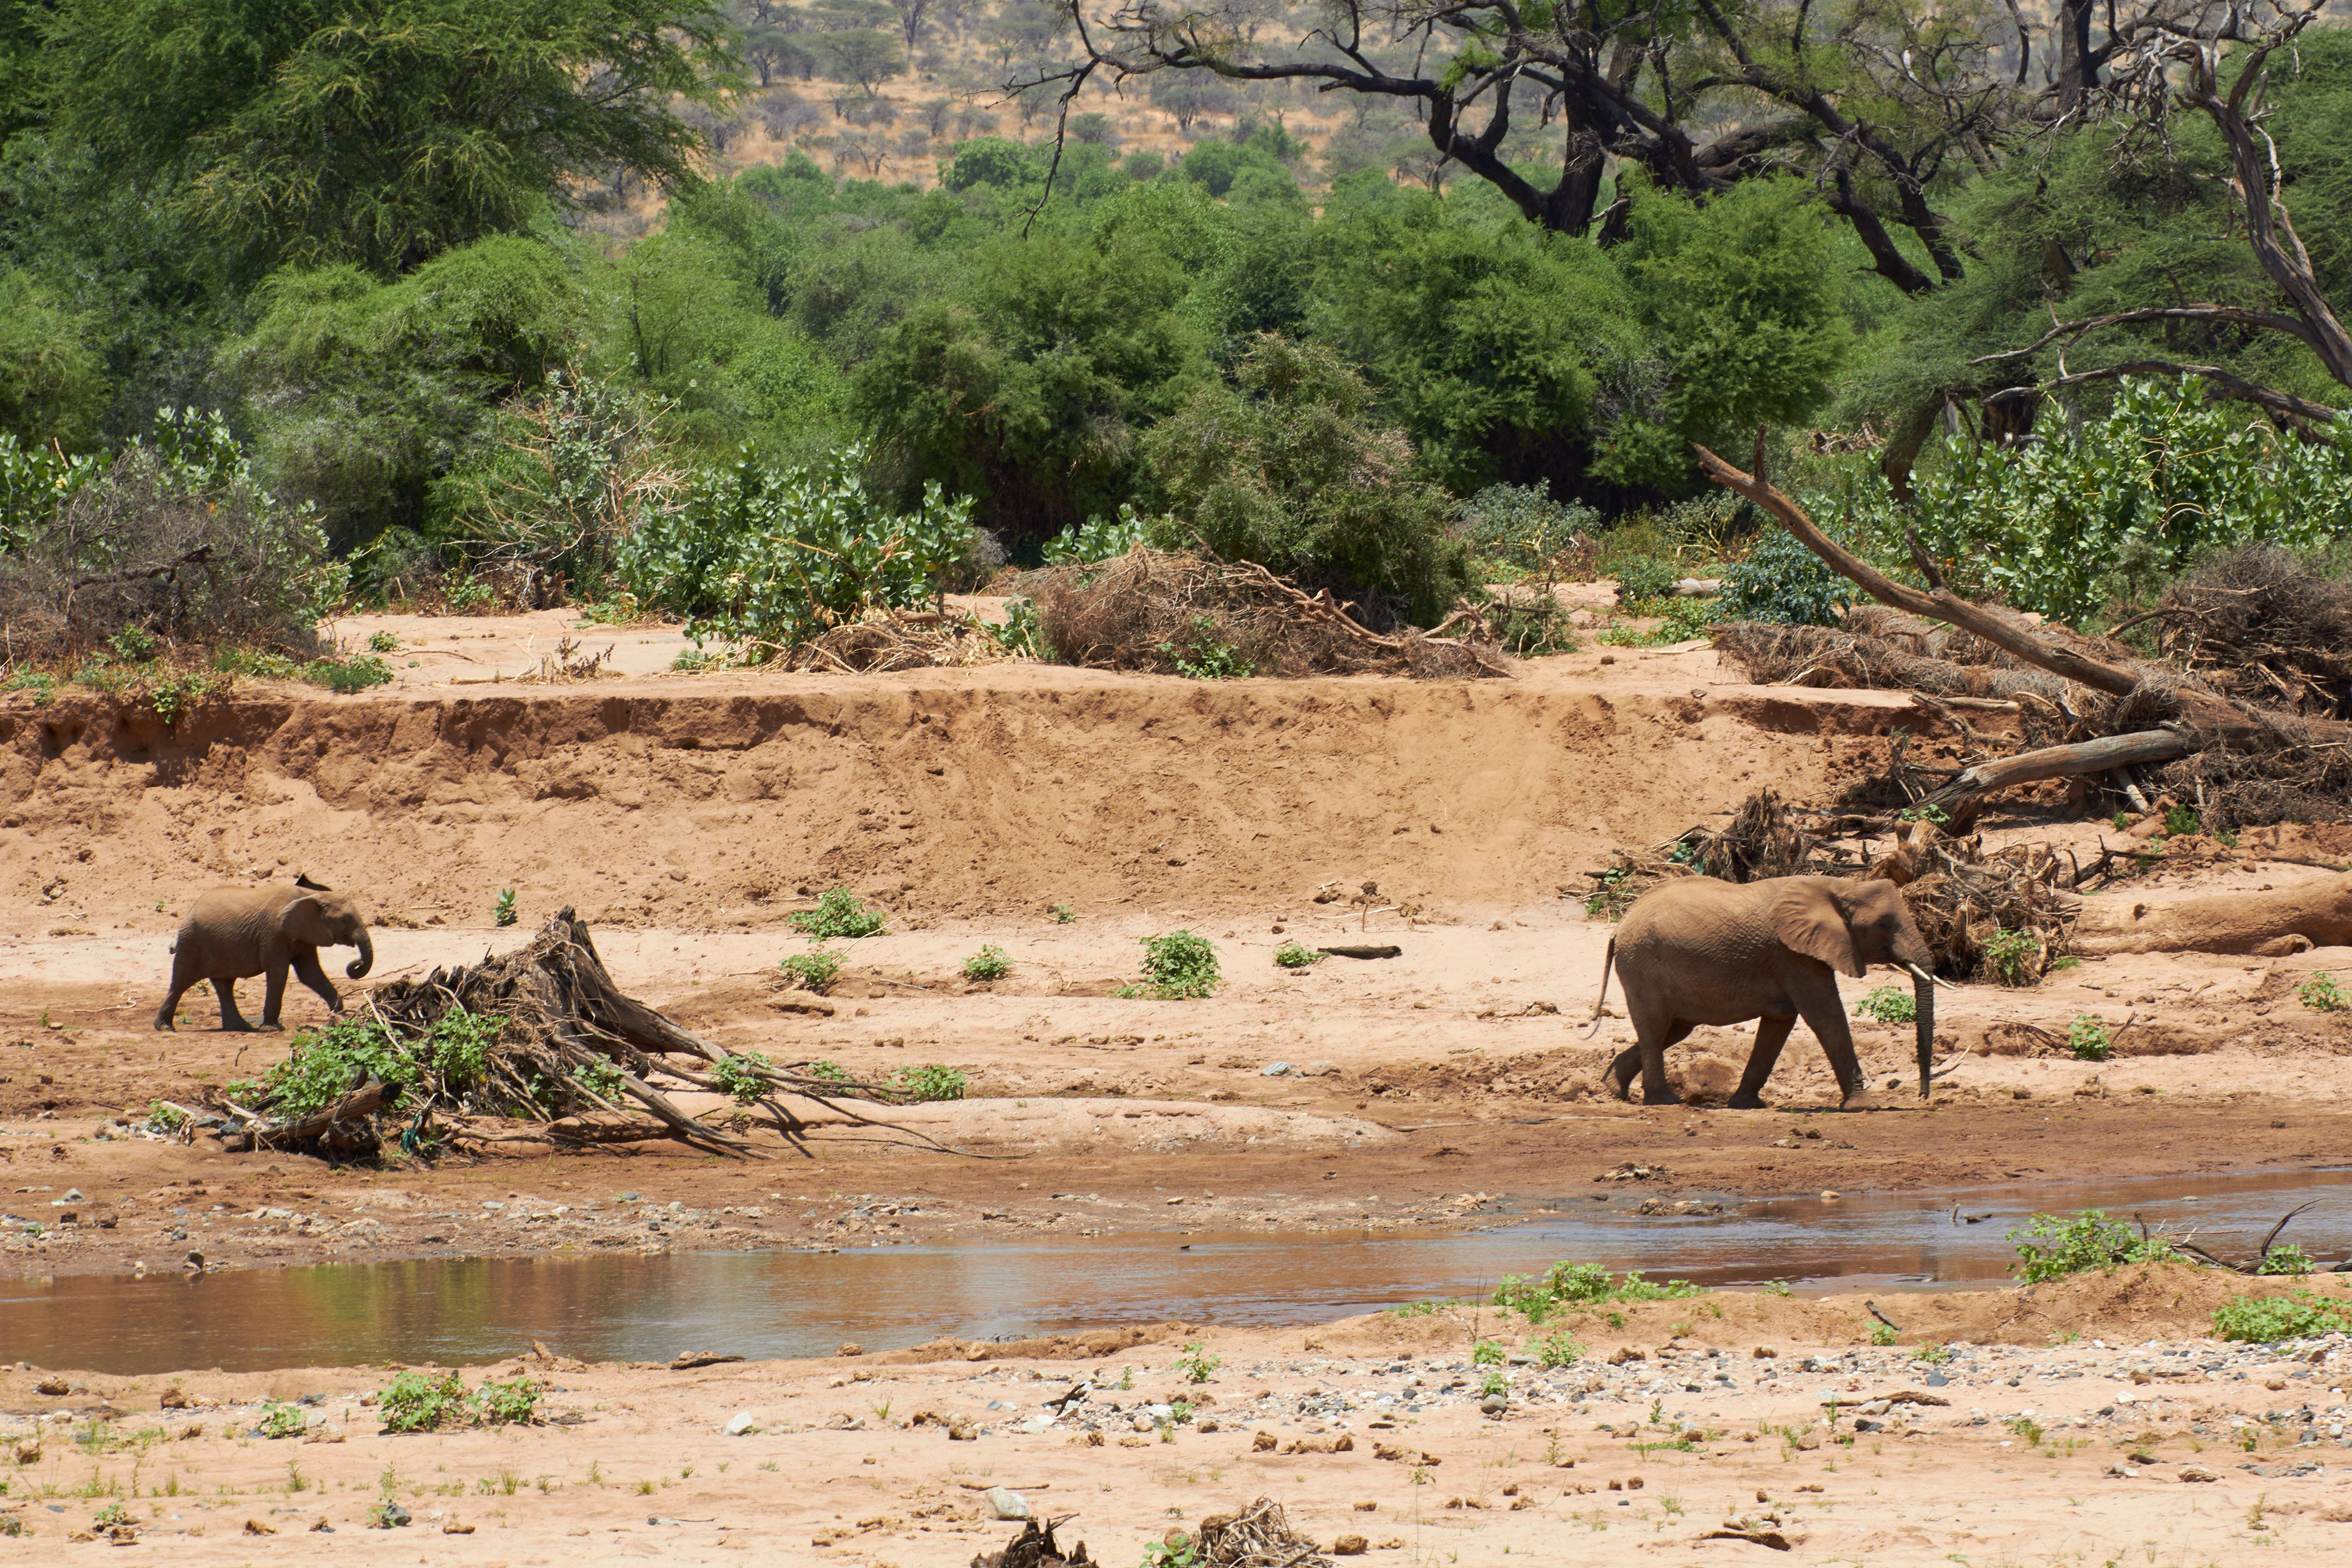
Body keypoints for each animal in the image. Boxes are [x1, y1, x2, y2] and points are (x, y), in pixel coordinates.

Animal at [153, 882, 374, 1032]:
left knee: (224, 985)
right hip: (192, 942)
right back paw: (165, 1028)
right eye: (345, 919)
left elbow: (310, 974)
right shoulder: (274, 932)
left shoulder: (304, 934)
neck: (314, 895)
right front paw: (272, 1029)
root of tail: (190, 910)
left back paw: (240, 1028)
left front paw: (340, 1018)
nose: (356, 963)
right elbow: (279, 972)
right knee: (181, 982)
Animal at [1585, 874, 1950, 1109]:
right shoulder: (1794, 955)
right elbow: (1826, 1016)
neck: (1841, 885)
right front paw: (1864, 1106)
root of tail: (1619, 926)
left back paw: (1614, 1088)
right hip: (1642, 964)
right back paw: (1664, 1102)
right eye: (1885, 924)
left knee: (1673, 1030)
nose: (1923, 1097)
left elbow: (1780, 1022)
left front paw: (1746, 1105)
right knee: (1655, 1027)